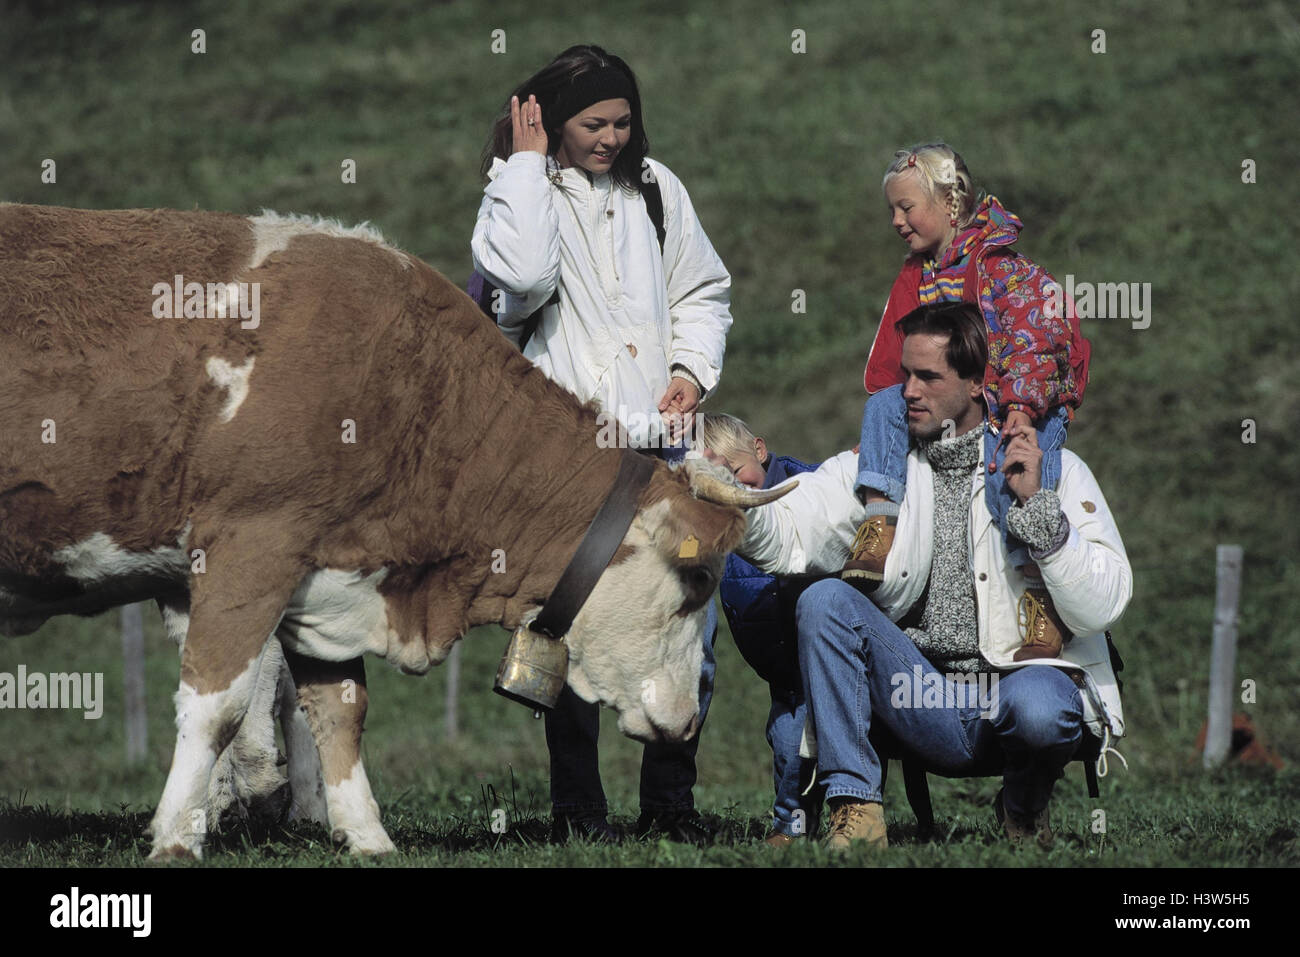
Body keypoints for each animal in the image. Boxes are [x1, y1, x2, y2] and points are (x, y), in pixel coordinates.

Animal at [0, 203, 791, 858]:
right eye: (696, 582)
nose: (693, 713)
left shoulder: (323, 571)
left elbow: (339, 709)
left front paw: (367, 836)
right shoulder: (251, 548)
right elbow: (218, 706)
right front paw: (175, 837)